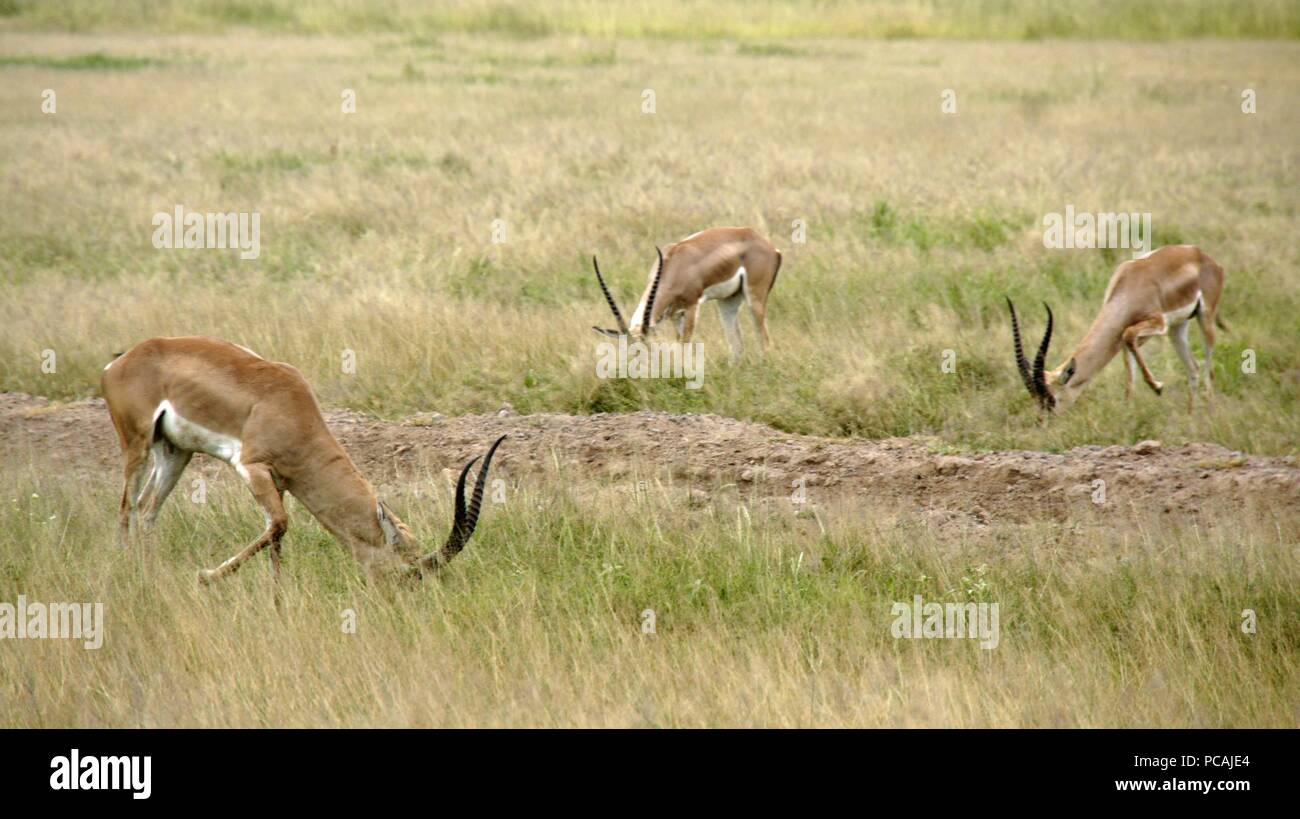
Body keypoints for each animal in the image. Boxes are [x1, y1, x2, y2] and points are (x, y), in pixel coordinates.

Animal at [101, 336, 505, 585]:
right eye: (410, 571)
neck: (291, 409)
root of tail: (121, 361)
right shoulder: (253, 467)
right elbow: (280, 524)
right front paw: (205, 577)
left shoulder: (279, 482)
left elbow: (276, 539)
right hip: (136, 445)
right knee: (125, 508)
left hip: (175, 452)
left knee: (147, 508)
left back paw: (148, 569)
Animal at [592, 227, 782, 358]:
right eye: (629, 351)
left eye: (648, 347)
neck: (674, 264)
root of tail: (772, 248)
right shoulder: (674, 314)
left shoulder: (692, 306)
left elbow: (685, 345)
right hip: (727, 302)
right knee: (737, 347)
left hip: (754, 299)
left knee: (765, 343)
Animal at [1006, 245, 1225, 413]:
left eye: (1052, 400)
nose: (1043, 424)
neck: (1129, 288)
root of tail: (1201, 254)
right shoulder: (1125, 338)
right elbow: (1129, 379)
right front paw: (1128, 413)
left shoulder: (1156, 324)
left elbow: (1128, 336)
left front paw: (1157, 387)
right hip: (1177, 329)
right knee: (1194, 368)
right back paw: (1190, 419)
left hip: (1204, 319)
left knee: (1210, 371)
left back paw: (1210, 414)